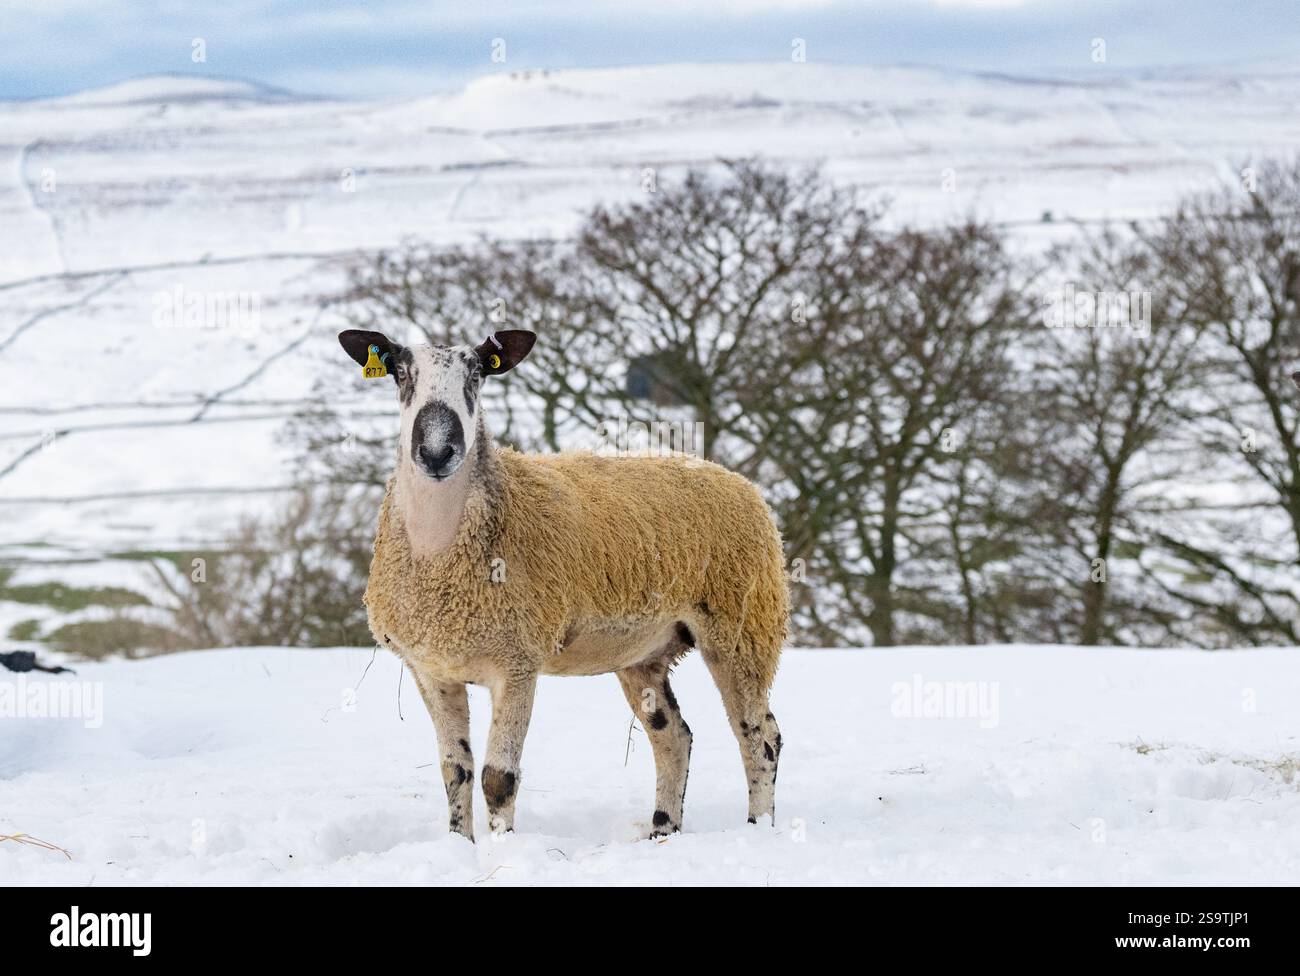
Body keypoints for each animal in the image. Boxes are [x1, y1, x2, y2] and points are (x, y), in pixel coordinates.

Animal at [338, 327, 788, 840]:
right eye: (399, 372)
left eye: (478, 373)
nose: (436, 452)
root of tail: (737, 480)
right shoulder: (431, 670)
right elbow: (456, 771)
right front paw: (459, 844)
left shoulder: (517, 662)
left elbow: (498, 779)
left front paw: (501, 848)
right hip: (645, 653)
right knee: (674, 736)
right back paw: (661, 831)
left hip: (742, 625)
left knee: (760, 736)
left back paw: (759, 827)